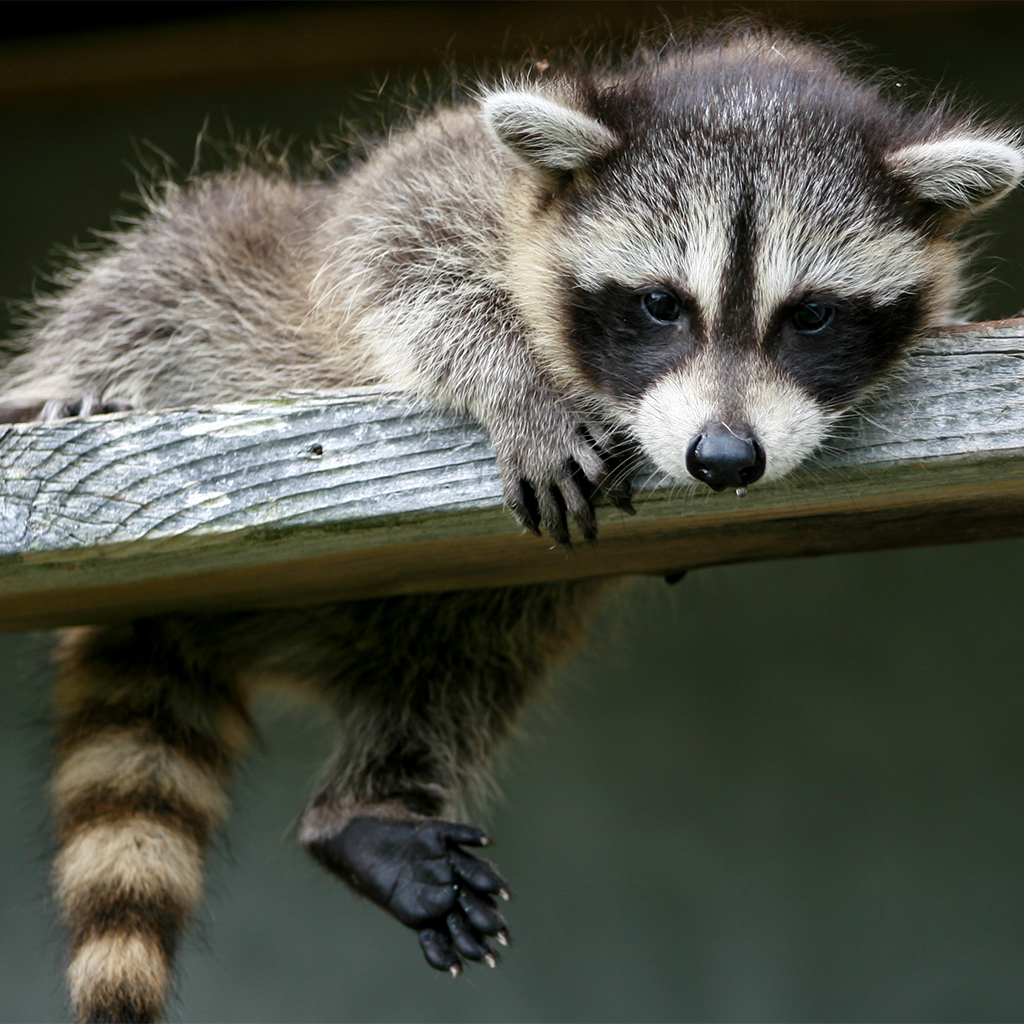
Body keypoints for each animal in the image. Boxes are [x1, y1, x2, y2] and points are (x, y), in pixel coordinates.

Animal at [3, 26, 1022, 1023]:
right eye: (661, 305)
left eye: (810, 317)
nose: (725, 458)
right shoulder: (446, 173)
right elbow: (390, 253)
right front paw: (513, 378)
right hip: (226, 283)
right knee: (168, 265)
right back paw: (68, 385)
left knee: (468, 660)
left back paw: (369, 809)